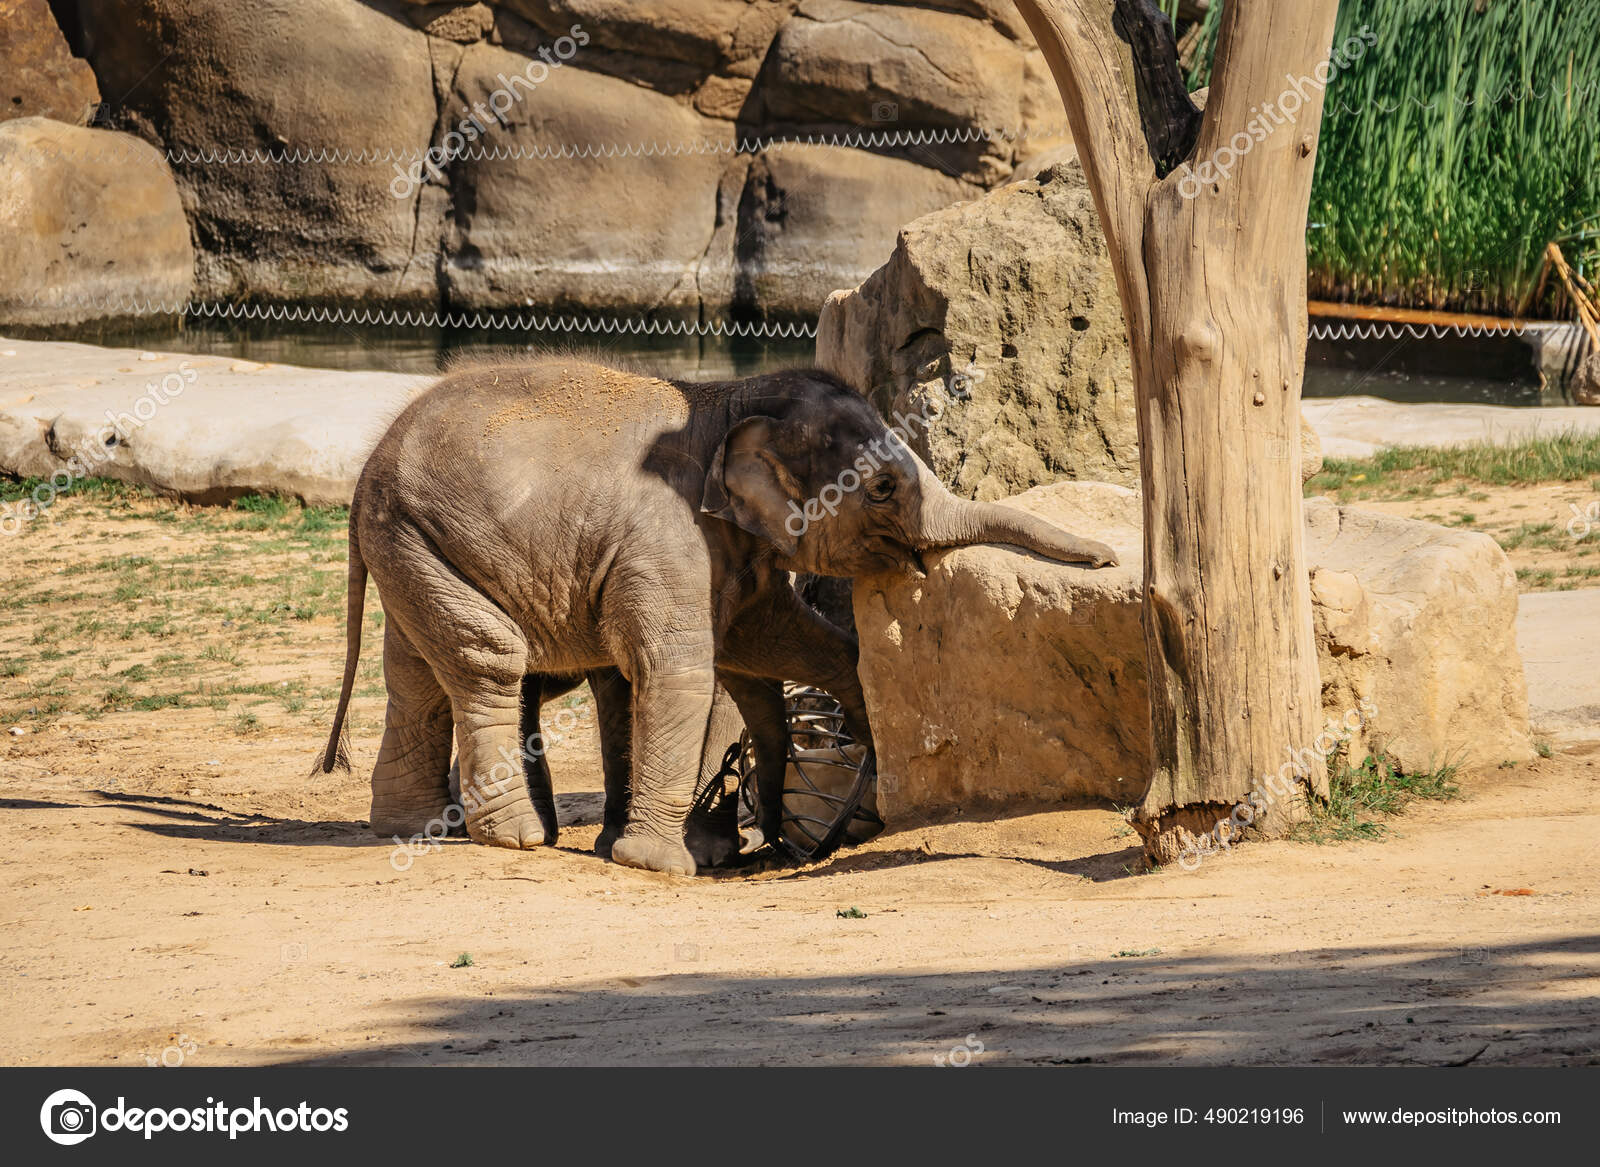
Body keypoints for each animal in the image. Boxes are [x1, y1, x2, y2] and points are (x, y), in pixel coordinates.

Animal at [316, 357, 1117, 876]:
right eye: (884, 488)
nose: (1109, 558)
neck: (733, 395)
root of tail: (366, 466)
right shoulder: (666, 538)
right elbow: (680, 671)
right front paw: (660, 865)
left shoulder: (734, 544)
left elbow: (777, 641)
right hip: (421, 534)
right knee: (488, 661)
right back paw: (515, 839)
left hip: (418, 544)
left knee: (417, 673)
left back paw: (410, 828)